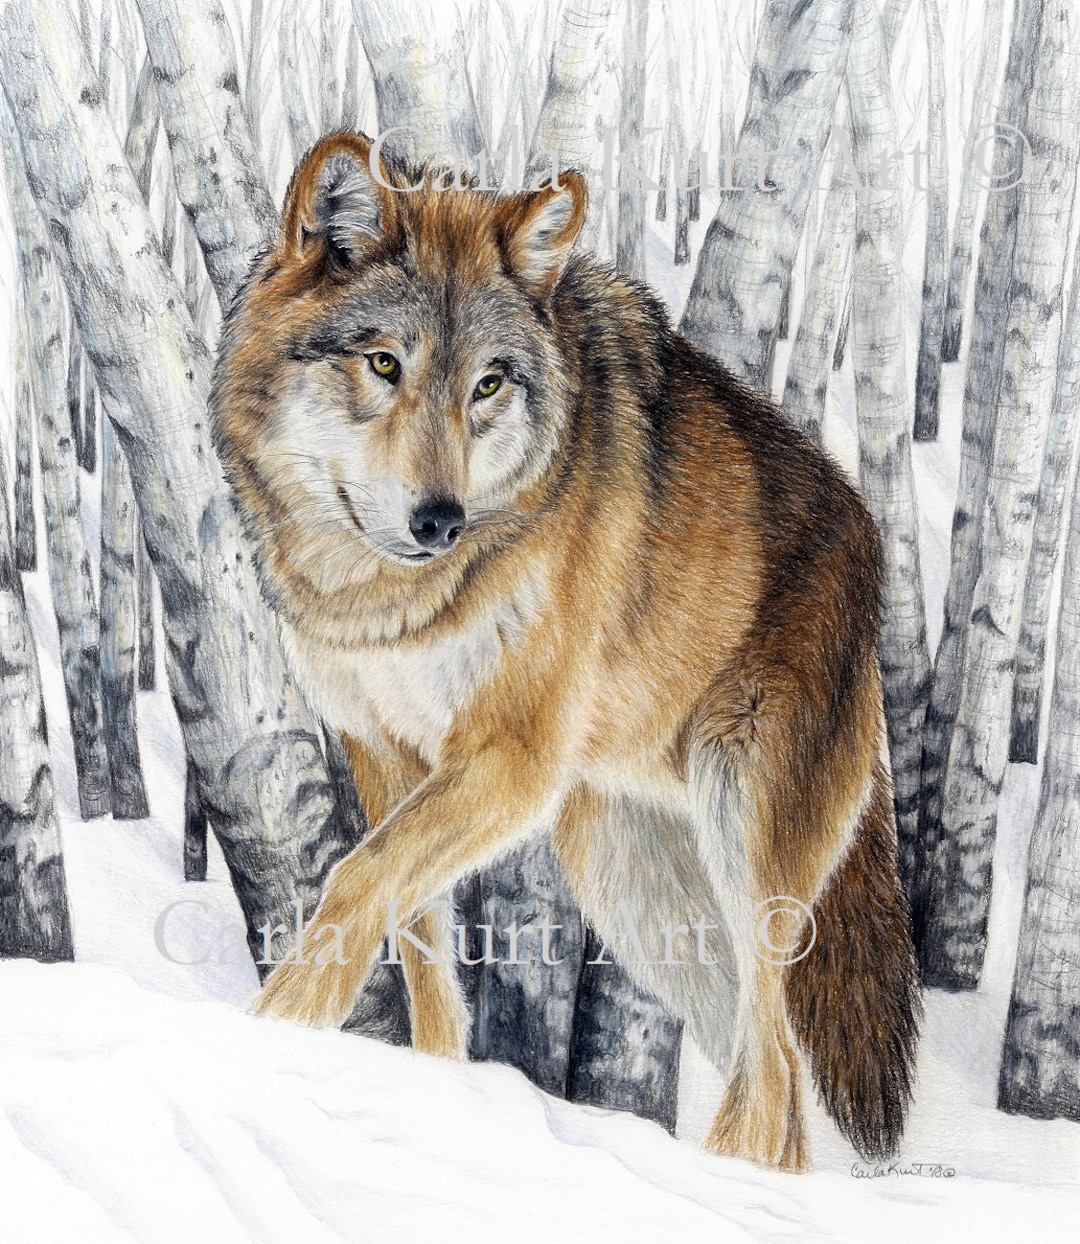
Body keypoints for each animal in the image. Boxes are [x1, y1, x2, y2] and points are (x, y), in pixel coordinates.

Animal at [211, 131, 920, 1172]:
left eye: (488, 384)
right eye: (384, 363)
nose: (439, 520)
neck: (387, 601)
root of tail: (868, 545)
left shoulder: (508, 761)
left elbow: (356, 880)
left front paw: (274, 1031)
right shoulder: (387, 754)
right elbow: (418, 945)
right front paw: (425, 1087)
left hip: (740, 843)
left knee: (777, 1068)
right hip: (634, 888)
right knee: (778, 1085)